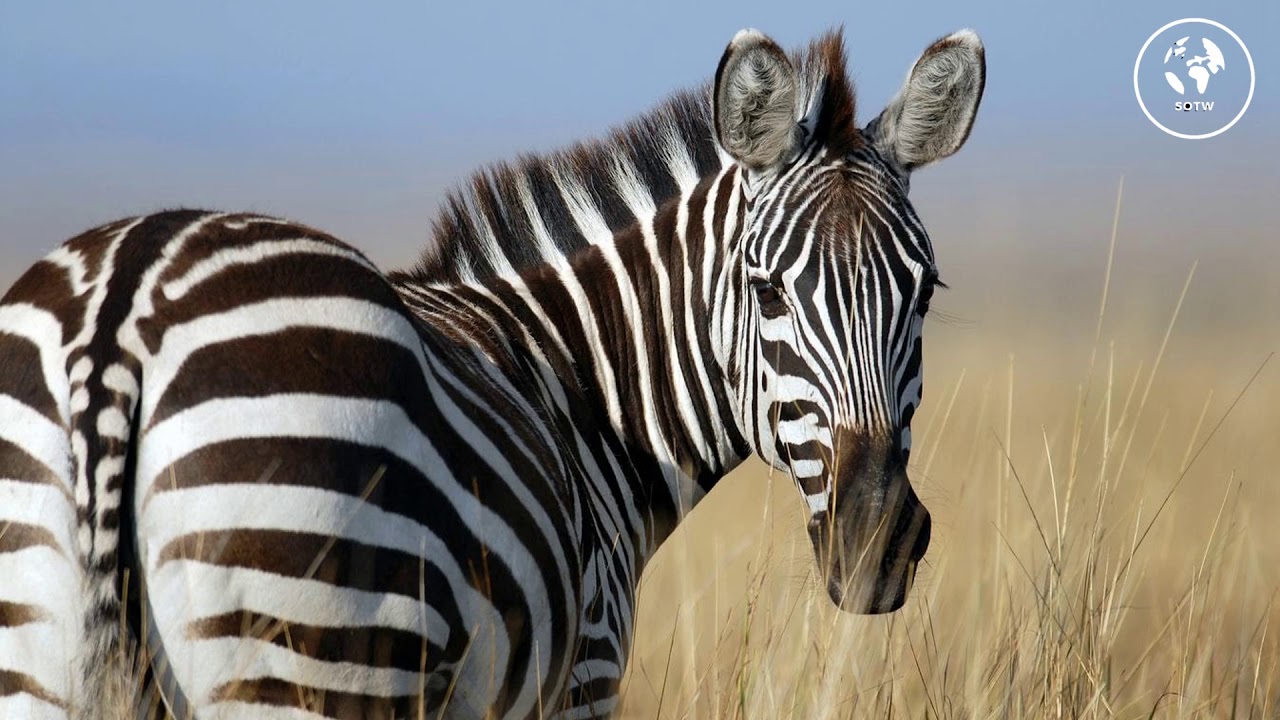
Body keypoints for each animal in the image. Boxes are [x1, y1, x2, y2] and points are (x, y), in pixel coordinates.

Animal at [0, 27, 984, 719]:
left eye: (924, 292)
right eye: (767, 290)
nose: (877, 542)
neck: (585, 397)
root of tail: (122, 310)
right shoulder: (584, 670)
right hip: (299, 646)